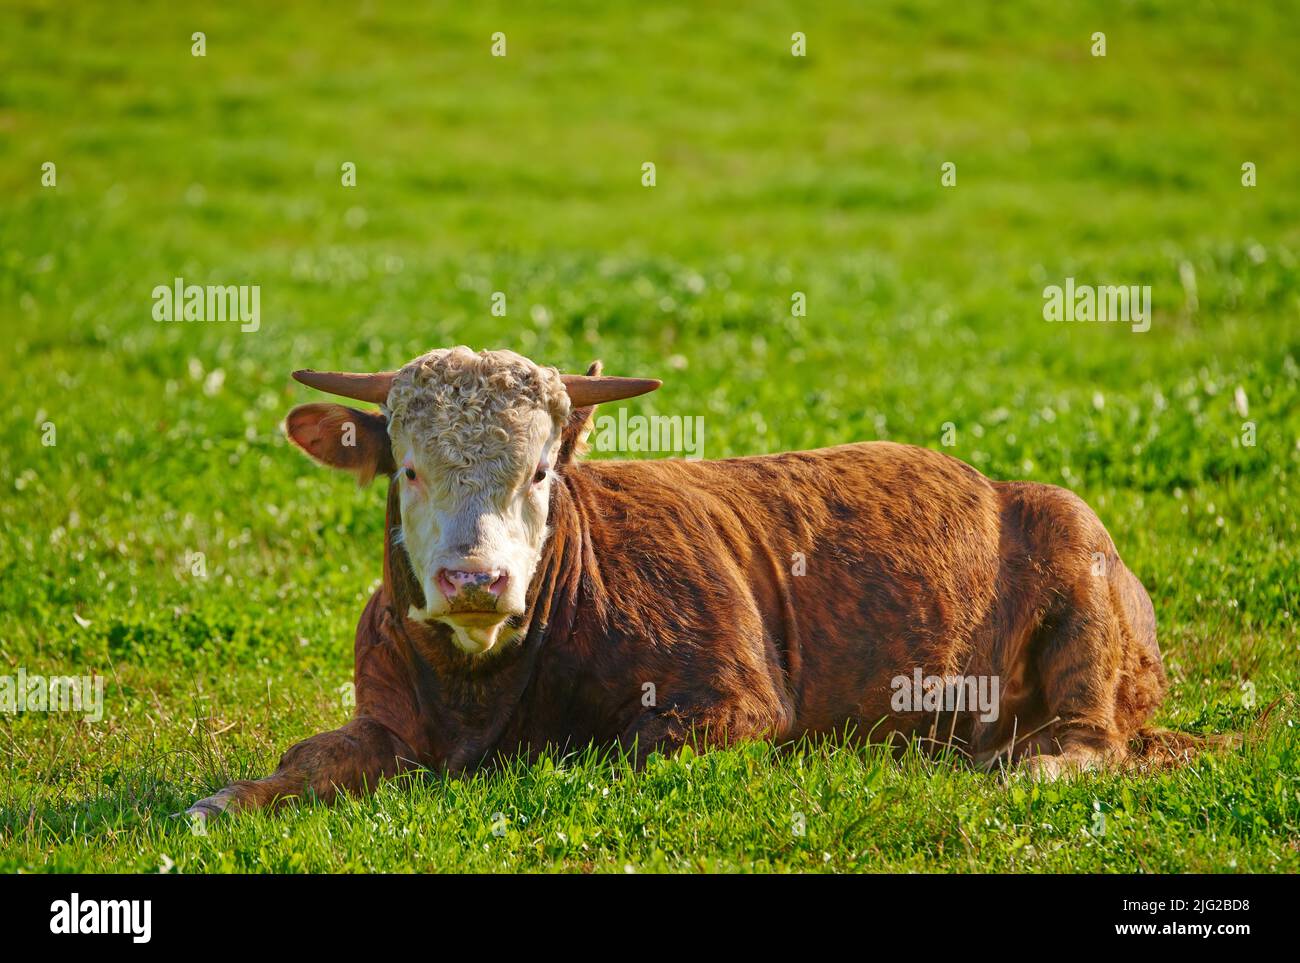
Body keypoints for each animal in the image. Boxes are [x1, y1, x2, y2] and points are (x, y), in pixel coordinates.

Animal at [187, 346, 1187, 818]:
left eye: (541, 471)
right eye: (407, 468)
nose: (476, 578)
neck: (485, 691)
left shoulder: (732, 702)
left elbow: (614, 751)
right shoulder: (385, 717)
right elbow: (305, 760)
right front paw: (225, 800)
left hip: (1080, 570)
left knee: (1090, 740)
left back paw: (1023, 765)